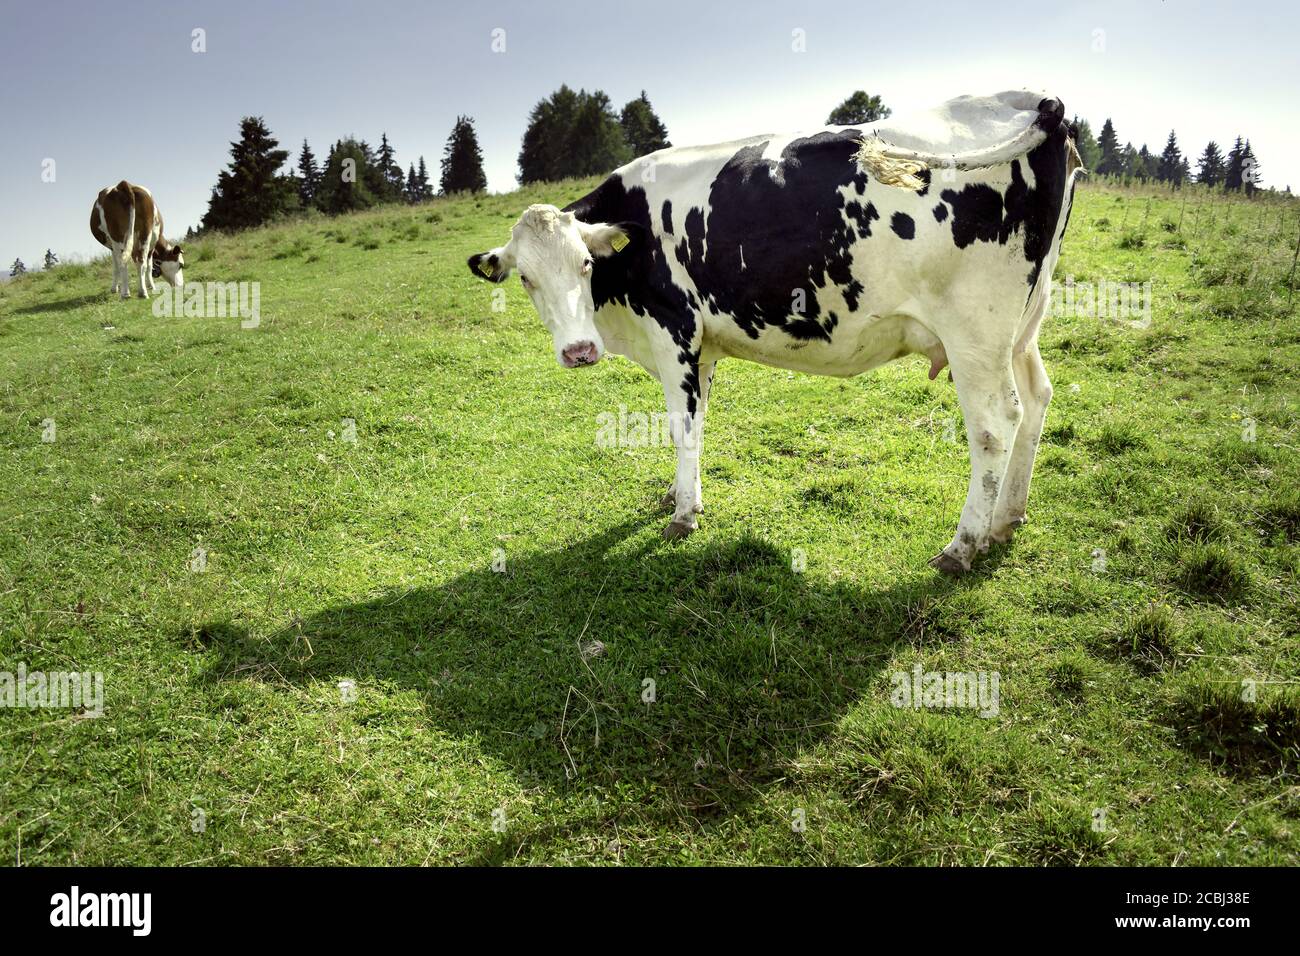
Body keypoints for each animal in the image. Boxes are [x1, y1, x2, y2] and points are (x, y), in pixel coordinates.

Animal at [467, 91, 1084, 574]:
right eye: (526, 278)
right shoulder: (702, 350)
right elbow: (698, 422)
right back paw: (1006, 520)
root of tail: (1027, 98)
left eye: (586, 265)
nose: (578, 351)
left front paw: (682, 515)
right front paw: (679, 493)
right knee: (1036, 401)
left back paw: (963, 545)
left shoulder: (675, 332)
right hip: (1022, 326)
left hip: (974, 331)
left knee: (995, 426)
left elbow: (681, 426)